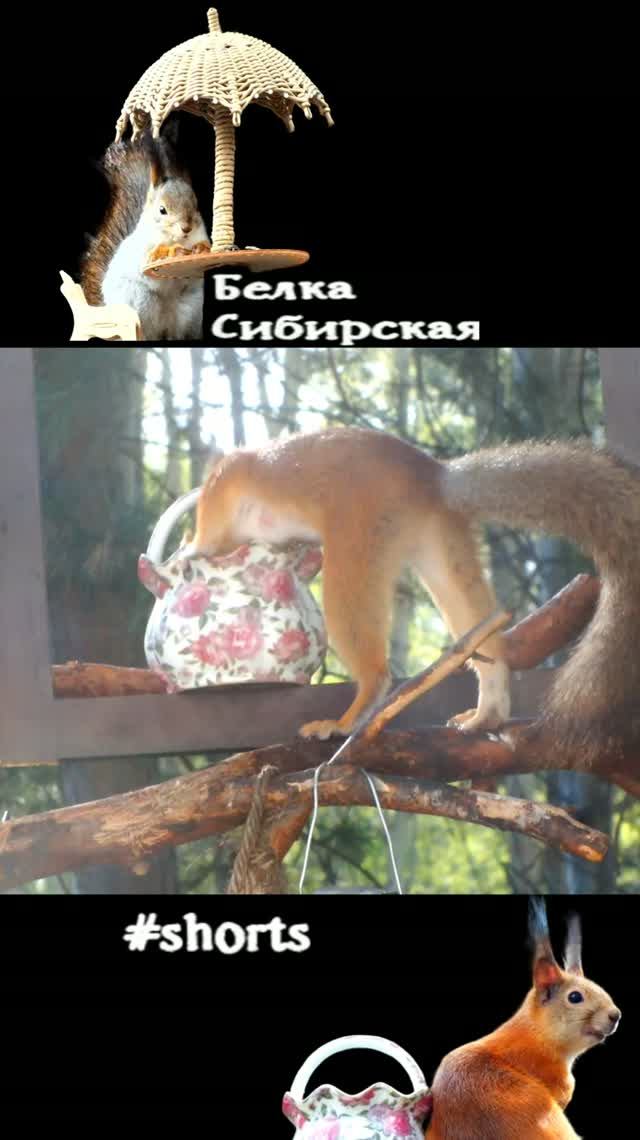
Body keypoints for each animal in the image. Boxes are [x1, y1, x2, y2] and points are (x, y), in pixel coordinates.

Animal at [81, 127, 210, 341]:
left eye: (197, 206)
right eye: (162, 210)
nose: (186, 228)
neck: (177, 239)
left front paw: (200, 249)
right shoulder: (141, 252)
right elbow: (150, 260)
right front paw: (173, 252)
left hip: (189, 310)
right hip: (139, 304)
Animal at [186, 424, 640, 757]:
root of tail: (434, 475)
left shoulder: (221, 493)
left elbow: (207, 535)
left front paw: (187, 551)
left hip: (361, 529)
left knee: (361, 631)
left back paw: (349, 718)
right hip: (438, 538)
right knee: (479, 625)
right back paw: (487, 712)